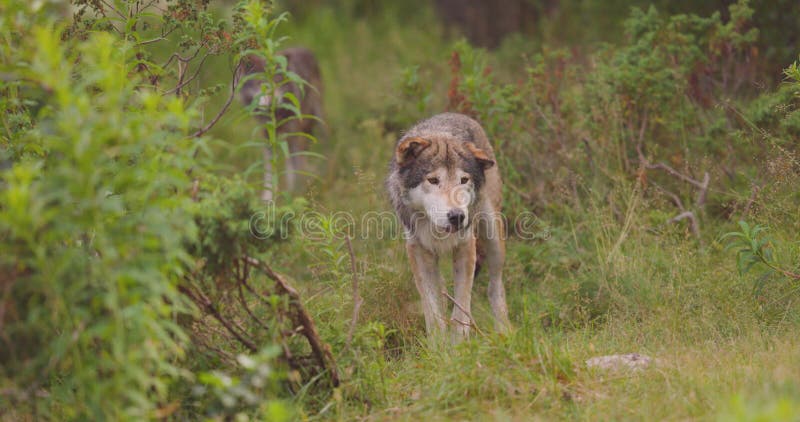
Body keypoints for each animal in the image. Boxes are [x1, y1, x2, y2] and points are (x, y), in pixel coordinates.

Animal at [238, 47, 323, 201]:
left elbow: (295, 165)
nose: (272, 101)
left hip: (316, 120)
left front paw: (296, 193)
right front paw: (268, 197)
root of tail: (306, 49)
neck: (277, 116)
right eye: (260, 84)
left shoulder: (294, 134)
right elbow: (269, 168)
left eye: (277, 82)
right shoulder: (266, 136)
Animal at [386, 112, 510, 338]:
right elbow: (433, 313)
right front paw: (438, 346)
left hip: (493, 238)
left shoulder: (465, 246)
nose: (457, 216)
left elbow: (460, 310)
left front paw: (459, 345)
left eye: (463, 180)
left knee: (495, 286)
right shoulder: (418, 251)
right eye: (433, 180)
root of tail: (458, 115)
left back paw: (505, 332)